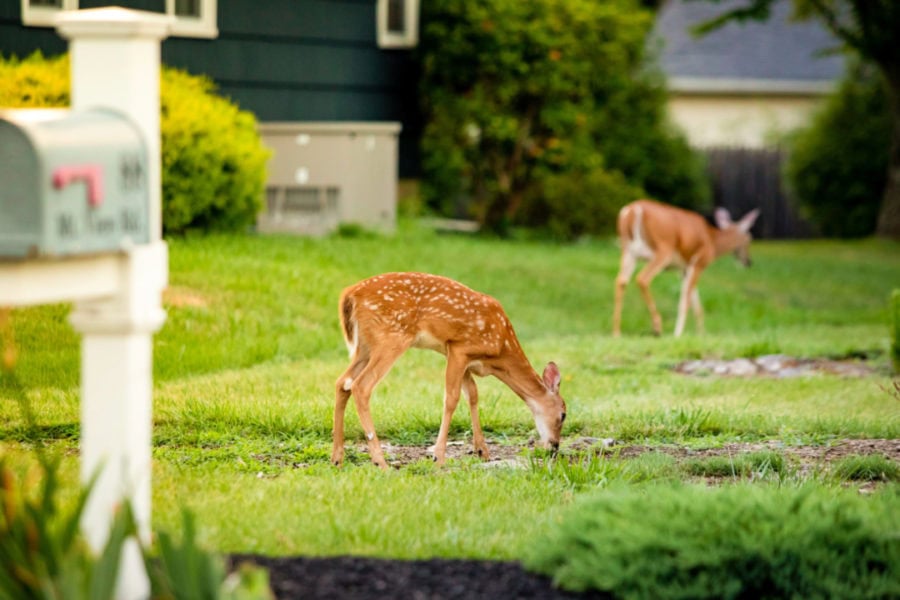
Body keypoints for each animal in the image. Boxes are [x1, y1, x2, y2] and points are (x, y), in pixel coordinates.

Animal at [331, 272, 567, 469]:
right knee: (361, 385)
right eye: (563, 415)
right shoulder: (459, 348)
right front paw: (439, 457)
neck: (500, 349)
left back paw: (337, 458)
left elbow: (472, 394)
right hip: (391, 338)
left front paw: (482, 451)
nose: (555, 447)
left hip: (364, 347)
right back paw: (380, 462)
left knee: (342, 382)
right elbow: (452, 398)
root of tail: (350, 294)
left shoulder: (459, 356)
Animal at [612, 199, 760, 338]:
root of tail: (632, 211)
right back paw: (657, 328)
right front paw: (678, 334)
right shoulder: (698, 263)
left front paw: (701, 334)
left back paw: (617, 333)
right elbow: (686, 302)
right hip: (663, 248)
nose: (748, 261)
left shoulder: (683, 269)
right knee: (642, 278)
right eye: (749, 239)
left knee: (621, 281)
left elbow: (697, 305)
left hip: (628, 251)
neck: (713, 242)